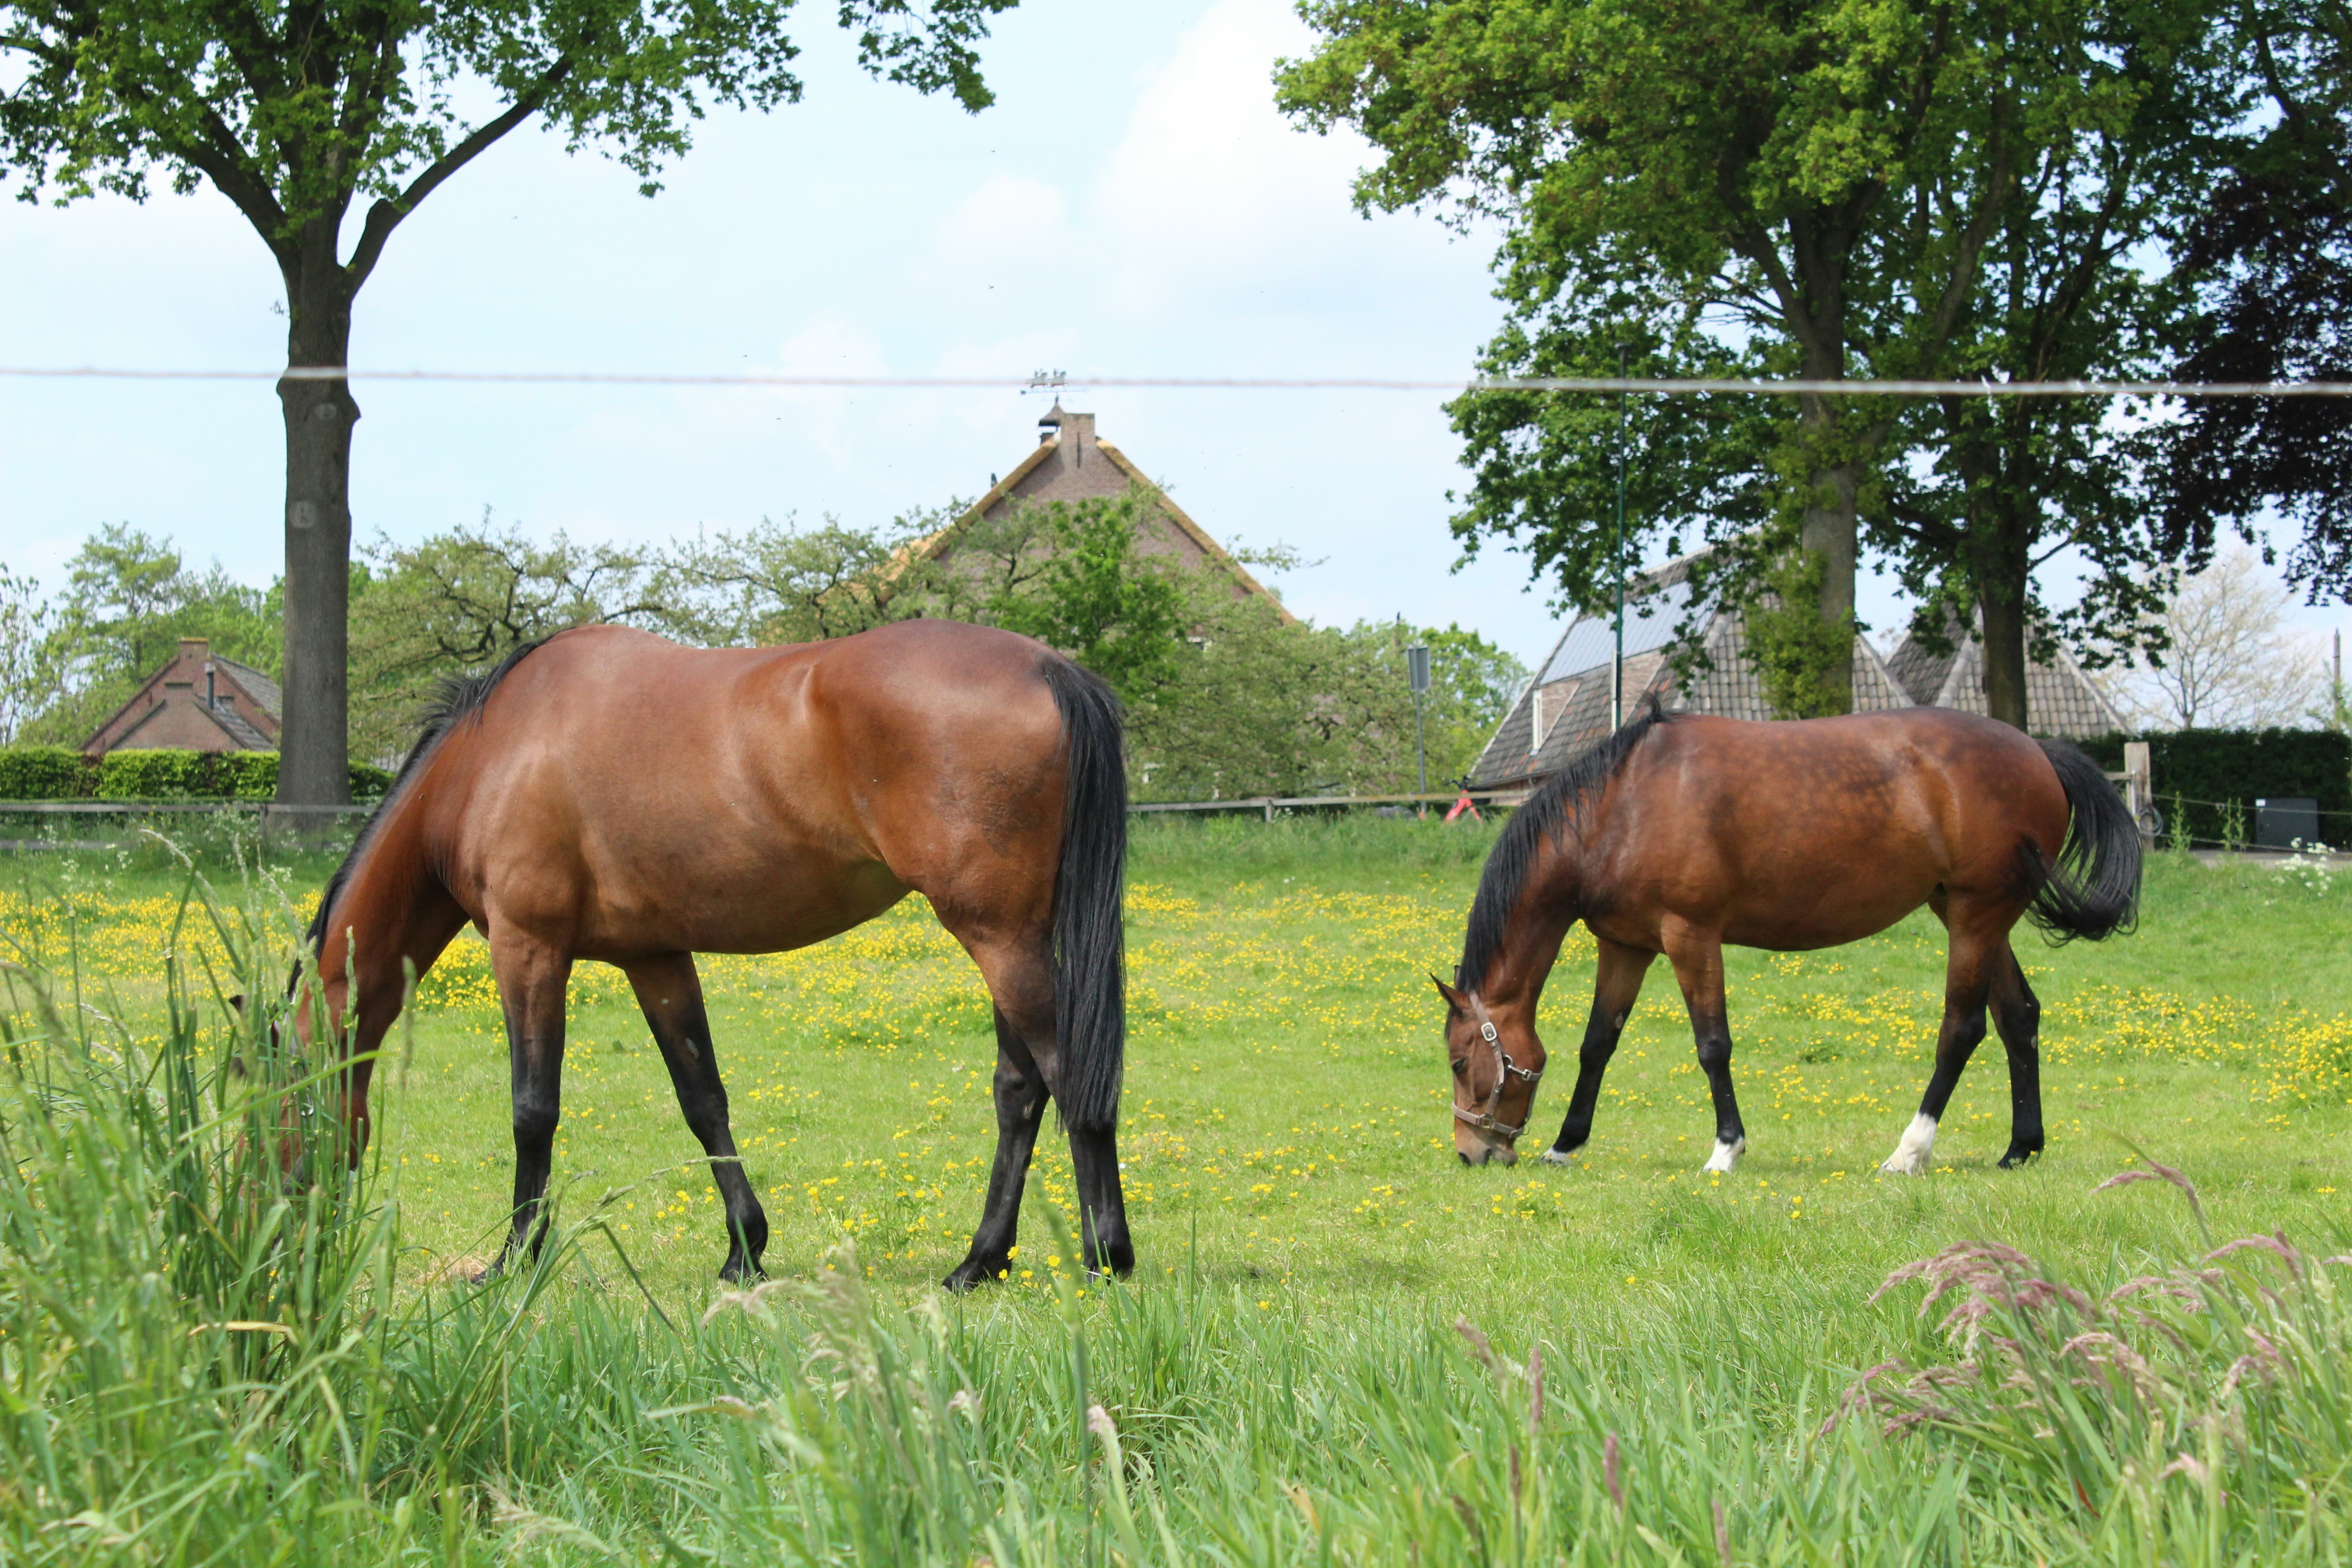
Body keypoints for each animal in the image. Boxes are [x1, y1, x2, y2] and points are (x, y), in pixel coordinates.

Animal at [288, 619, 1134, 1288]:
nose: (291, 1223)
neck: (489, 757)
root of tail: (1046, 667)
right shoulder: (656, 957)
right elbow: (703, 1100)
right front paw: (744, 1249)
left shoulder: (528, 948)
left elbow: (533, 1108)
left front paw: (513, 1257)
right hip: (1009, 936)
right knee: (1020, 1090)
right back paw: (979, 1262)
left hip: (996, 935)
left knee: (1069, 1076)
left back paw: (1104, 1257)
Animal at [1435, 699, 2140, 1175]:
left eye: (1458, 1062)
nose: (1472, 1152)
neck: (1621, 807)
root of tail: (2039, 751)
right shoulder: (1627, 945)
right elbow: (1597, 1045)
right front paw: (1565, 1144)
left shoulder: (1691, 936)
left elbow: (1712, 1046)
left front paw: (1726, 1149)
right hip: (1972, 916)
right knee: (2020, 1017)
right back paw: (2021, 1147)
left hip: (1976, 917)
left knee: (1962, 1030)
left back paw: (1909, 1151)